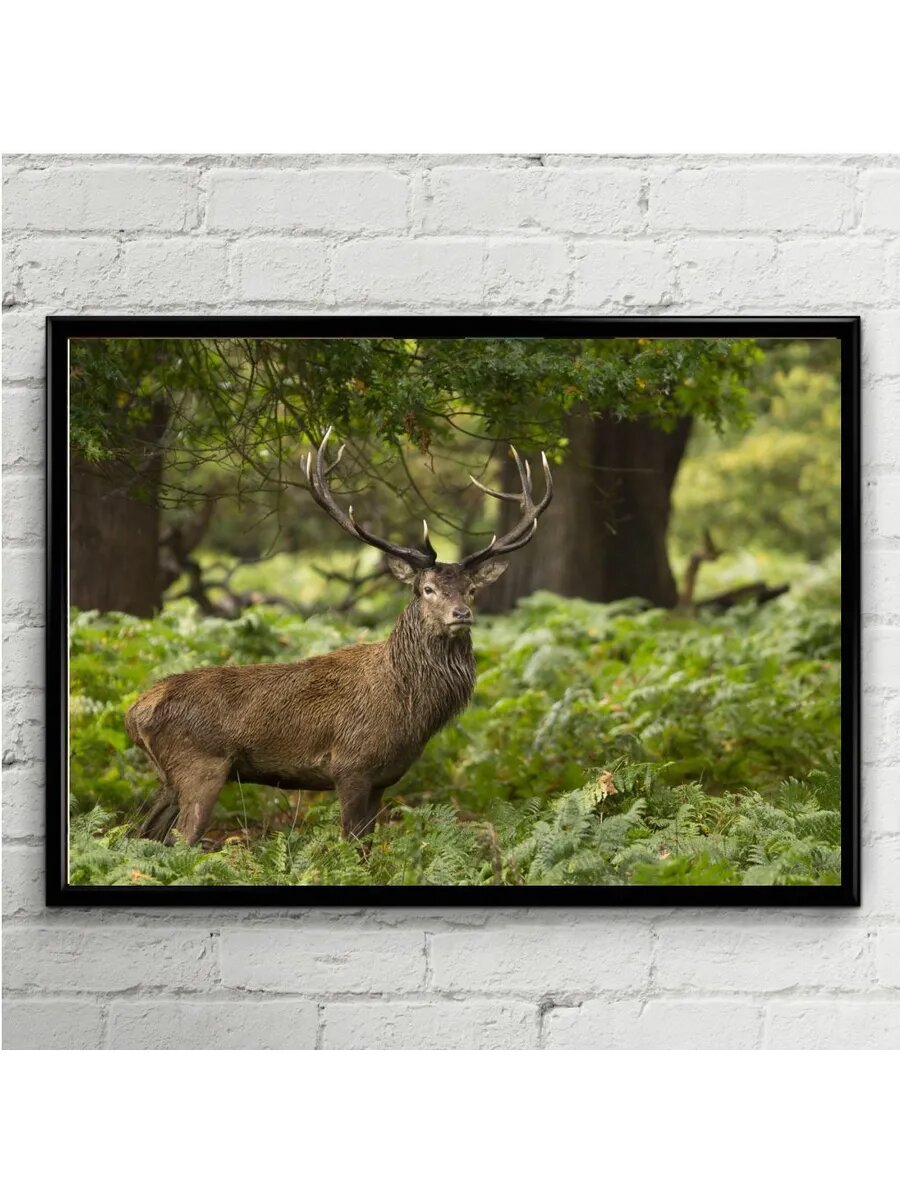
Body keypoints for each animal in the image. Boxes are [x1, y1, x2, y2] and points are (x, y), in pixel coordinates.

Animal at [125, 429, 553, 847]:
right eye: (427, 589)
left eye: (471, 589)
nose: (461, 614)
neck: (411, 709)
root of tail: (135, 712)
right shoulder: (350, 766)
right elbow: (349, 844)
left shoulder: (383, 779)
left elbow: (368, 849)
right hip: (201, 767)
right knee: (180, 842)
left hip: (169, 778)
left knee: (142, 837)